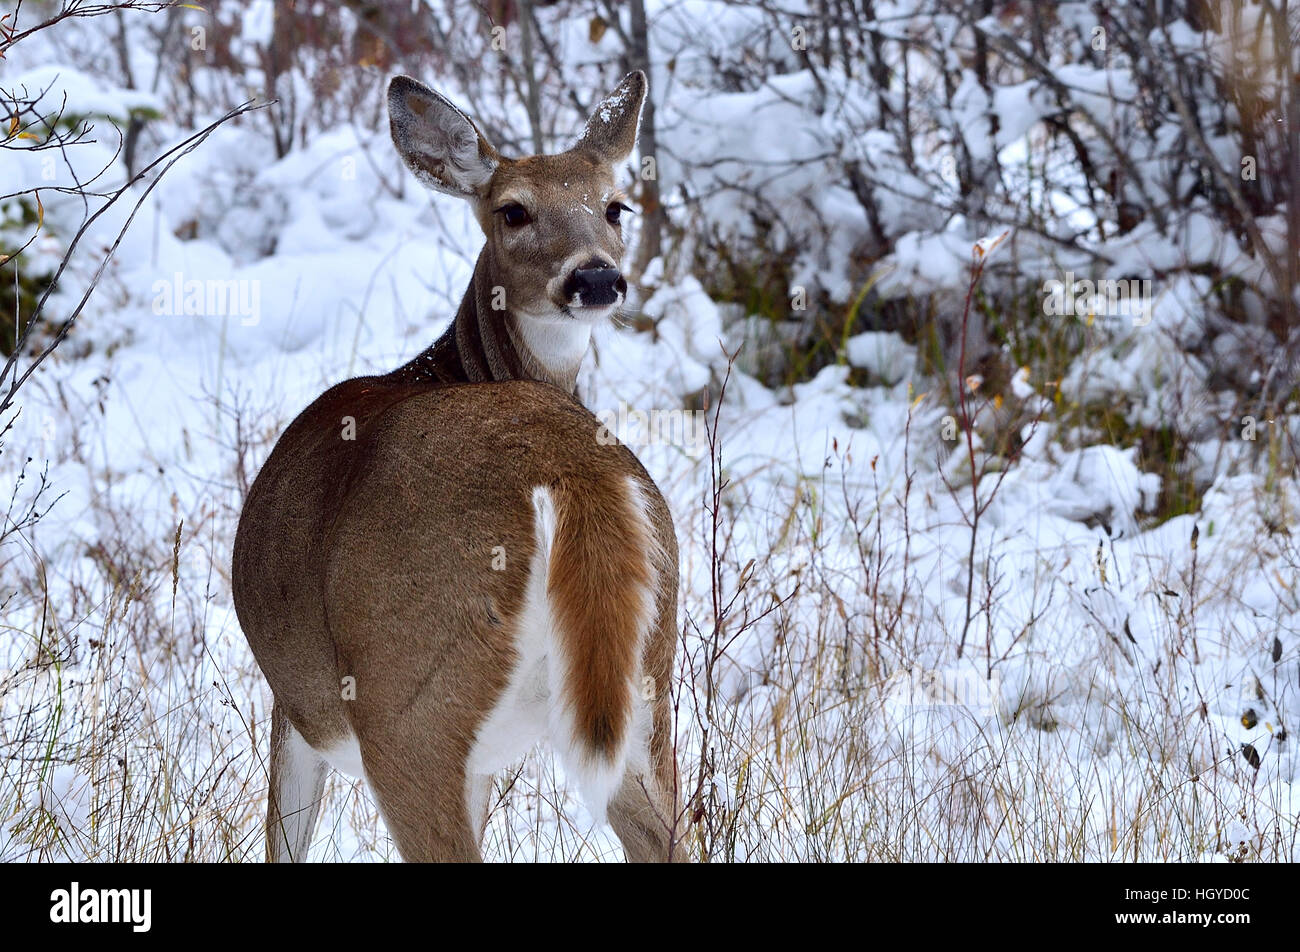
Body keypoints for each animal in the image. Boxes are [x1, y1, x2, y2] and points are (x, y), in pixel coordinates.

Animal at [231, 71, 683, 863]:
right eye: (513, 210)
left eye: (614, 205)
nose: (596, 279)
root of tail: (572, 472)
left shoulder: (298, 704)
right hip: (651, 687)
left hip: (408, 696)